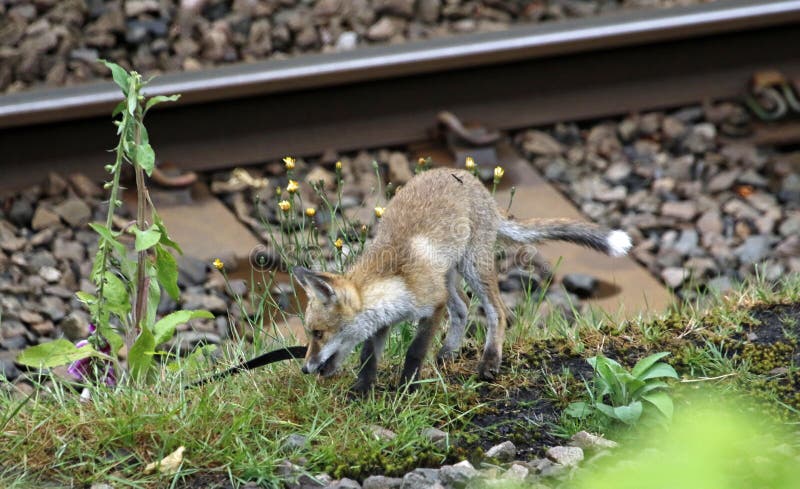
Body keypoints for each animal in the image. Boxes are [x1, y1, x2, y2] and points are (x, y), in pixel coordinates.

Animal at [293, 167, 632, 393]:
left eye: (318, 333)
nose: (305, 369)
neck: (395, 276)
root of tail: (471, 180)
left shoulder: (433, 304)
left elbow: (415, 350)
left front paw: (407, 388)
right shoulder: (384, 320)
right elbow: (368, 357)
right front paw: (361, 392)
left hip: (473, 267)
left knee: (497, 312)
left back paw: (489, 361)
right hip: (451, 274)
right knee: (465, 306)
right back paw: (447, 354)